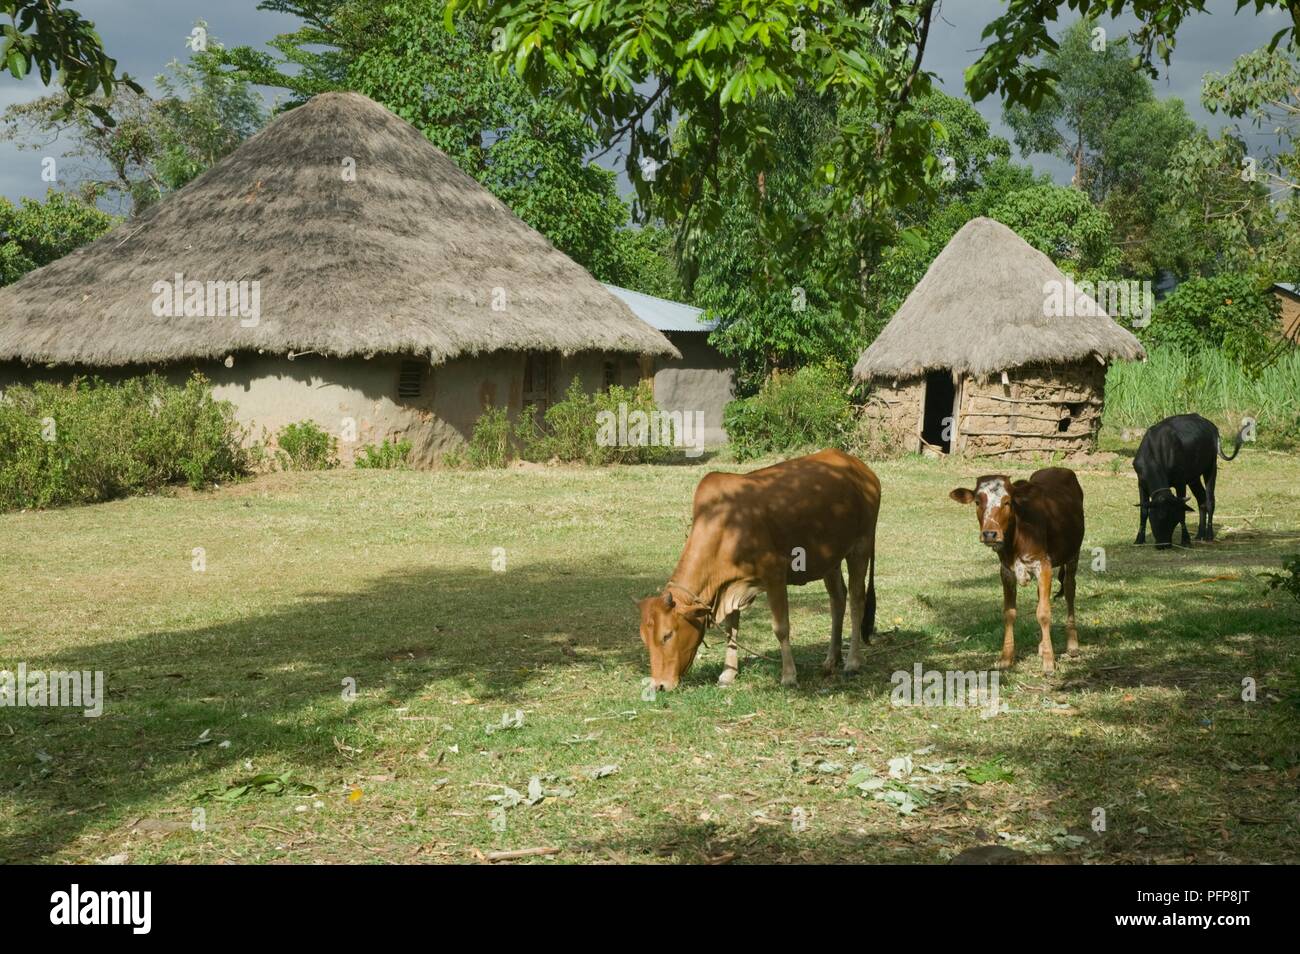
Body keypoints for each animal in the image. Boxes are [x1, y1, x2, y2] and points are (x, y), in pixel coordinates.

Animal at [637, 449, 881, 691]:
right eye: (644, 639)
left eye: (667, 635)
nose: (659, 685)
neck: (725, 526)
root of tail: (860, 468)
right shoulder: (728, 585)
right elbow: (731, 629)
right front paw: (728, 674)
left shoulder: (775, 575)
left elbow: (781, 628)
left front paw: (789, 675)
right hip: (831, 559)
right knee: (837, 599)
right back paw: (832, 659)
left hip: (860, 547)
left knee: (856, 601)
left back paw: (852, 662)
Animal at [949, 468, 1084, 674]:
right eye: (978, 502)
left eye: (1007, 501)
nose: (990, 534)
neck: (1019, 532)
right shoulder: (1006, 571)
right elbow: (1009, 613)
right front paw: (1006, 658)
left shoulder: (1043, 565)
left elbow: (1043, 613)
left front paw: (1049, 662)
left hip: (1073, 554)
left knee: (1069, 590)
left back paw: (1072, 644)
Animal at [1134, 413, 1246, 550]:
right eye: (1155, 519)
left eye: (1173, 521)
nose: (1164, 545)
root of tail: (1212, 427)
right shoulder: (1141, 483)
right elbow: (1143, 511)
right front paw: (1139, 539)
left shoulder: (1180, 483)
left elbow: (1182, 512)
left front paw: (1185, 539)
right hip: (1194, 478)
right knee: (1201, 499)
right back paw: (1199, 534)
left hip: (1210, 468)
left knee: (1210, 500)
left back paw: (1209, 535)